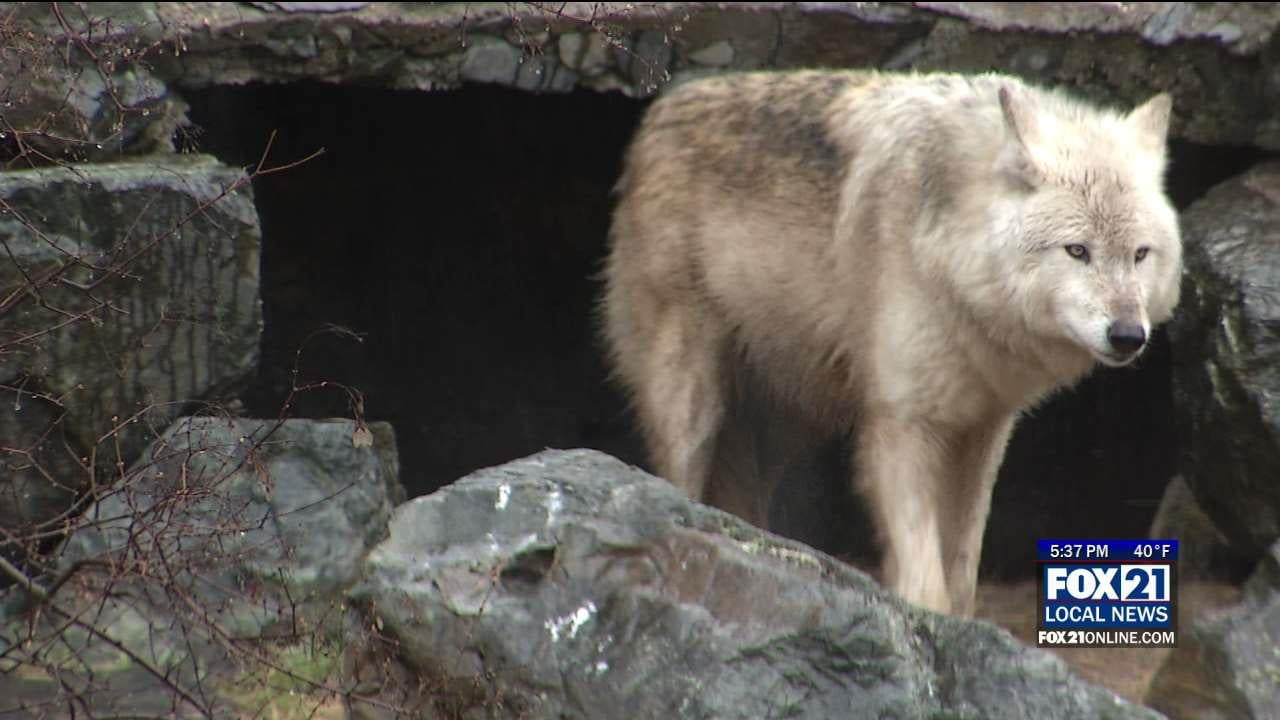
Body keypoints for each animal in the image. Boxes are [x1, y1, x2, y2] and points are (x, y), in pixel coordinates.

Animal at [601, 70, 1181, 617]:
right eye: (1077, 251)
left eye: (1140, 254)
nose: (1128, 335)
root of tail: (659, 112)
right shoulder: (902, 426)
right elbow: (924, 578)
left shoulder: (983, 432)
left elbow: (962, 569)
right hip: (693, 405)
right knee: (680, 477)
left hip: (782, 428)